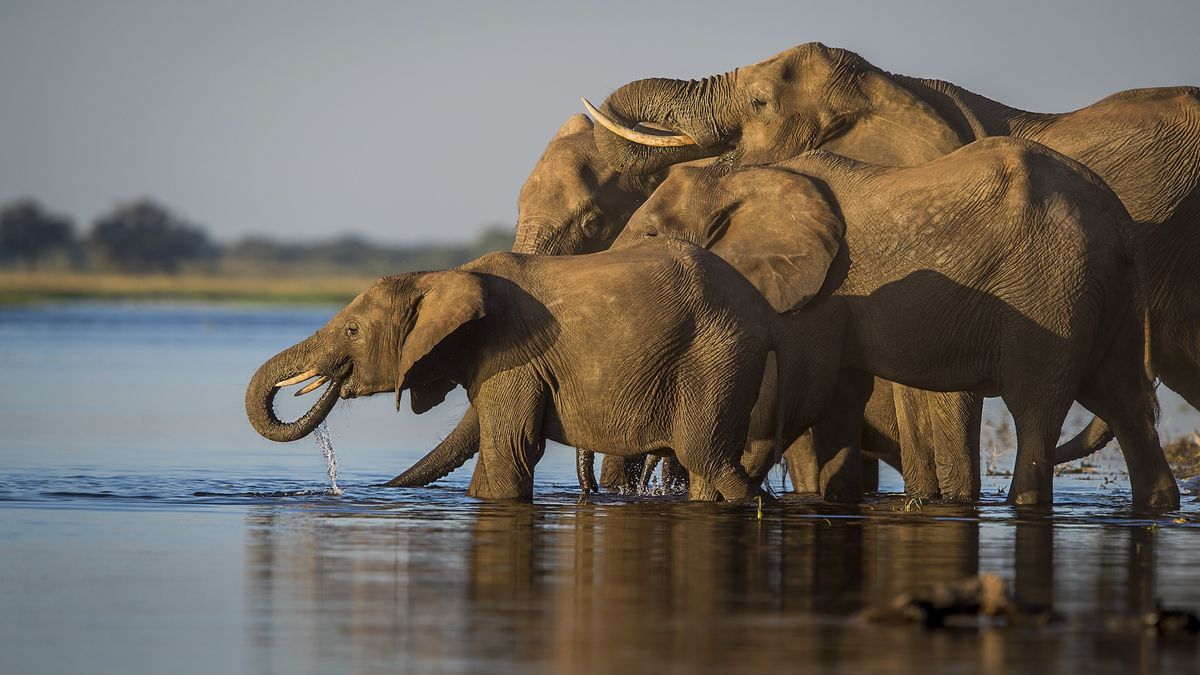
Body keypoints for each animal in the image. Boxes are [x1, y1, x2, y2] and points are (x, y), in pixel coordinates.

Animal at [246, 236, 785, 502]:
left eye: (353, 330)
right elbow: (492, 449)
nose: (338, 491)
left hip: (716, 356)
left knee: (706, 456)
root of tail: (765, 311)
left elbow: (510, 447)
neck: (447, 275)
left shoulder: (516, 355)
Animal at [586, 41, 1200, 496]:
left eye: (759, 102)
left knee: (1038, 413)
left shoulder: (827, 286)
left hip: (1054, 290)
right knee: (1124, 403)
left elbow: (804, 387)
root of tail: (1117, 221)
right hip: (1114, 295)